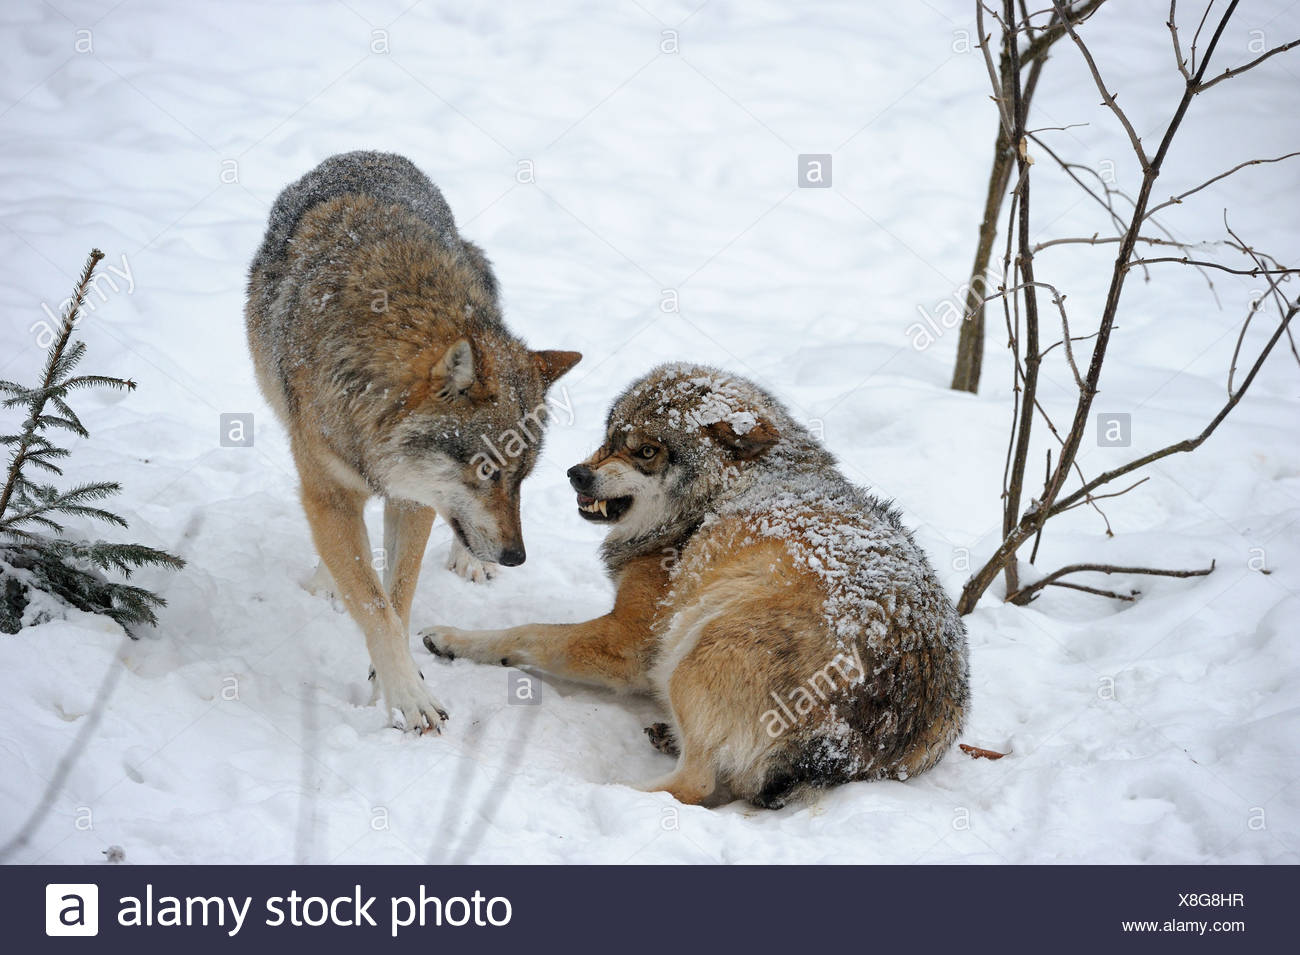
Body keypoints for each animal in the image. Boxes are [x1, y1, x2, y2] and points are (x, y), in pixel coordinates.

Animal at [246, 151, 581, 733]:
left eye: (521, 477)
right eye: (486, 469)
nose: (516, 557)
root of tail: (369, 153)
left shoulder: (414, 497)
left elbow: (398, 602)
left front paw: (392, 682)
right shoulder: (331, 490)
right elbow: (373, 603)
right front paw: (409, 696)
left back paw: (471, 562)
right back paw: (328, 579)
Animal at [421, 364, 969, 805]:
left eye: (646, 451)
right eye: (610, 438)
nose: (577, 474)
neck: (706, 507)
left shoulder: (627, 642)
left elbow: (527, 631)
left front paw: (452, 639)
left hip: (697, 644)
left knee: (696, 785)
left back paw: (610, 791)